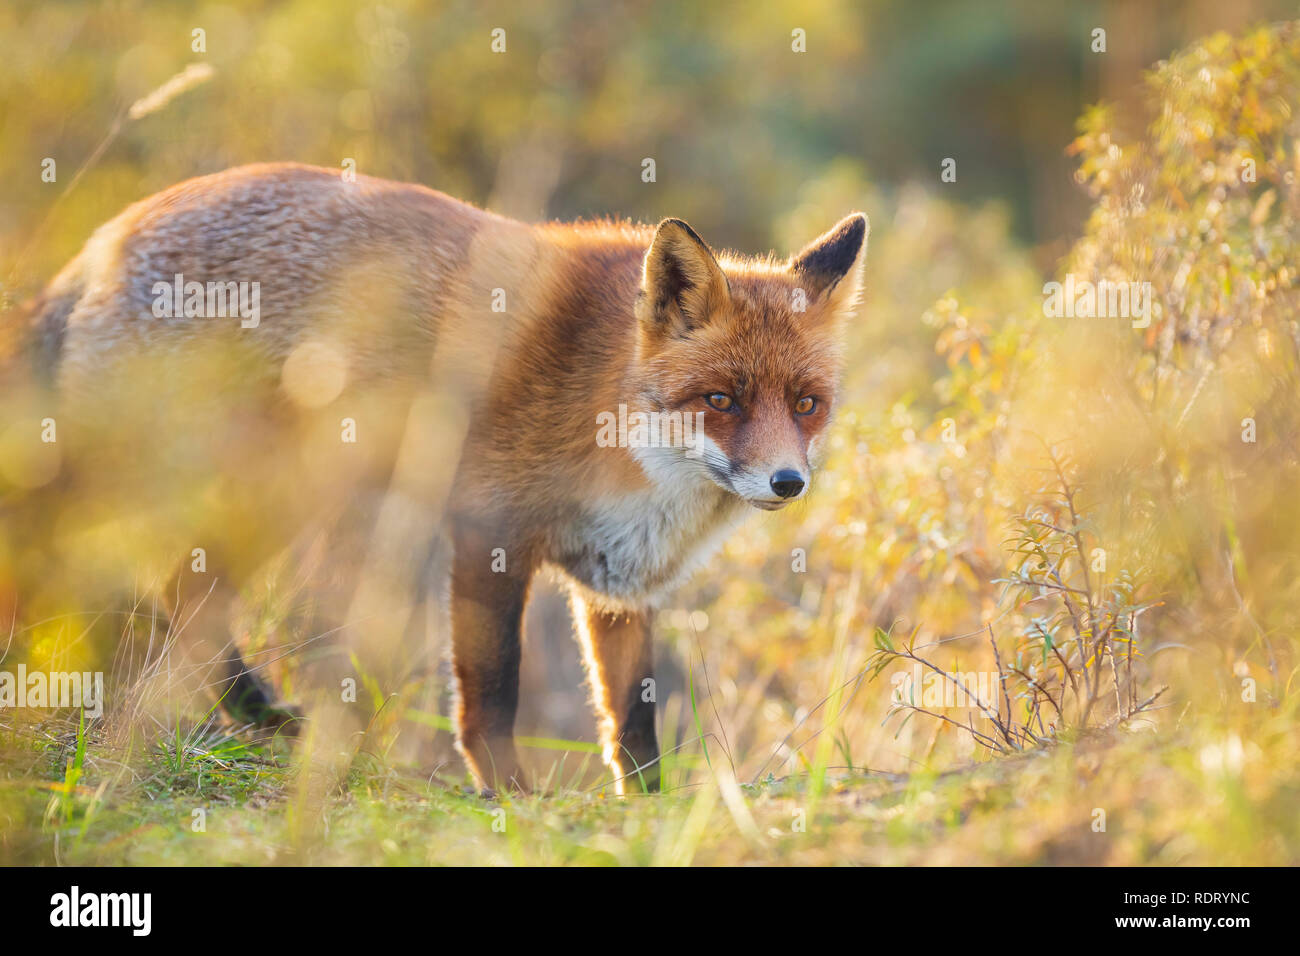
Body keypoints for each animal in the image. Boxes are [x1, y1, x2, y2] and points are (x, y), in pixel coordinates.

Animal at [4, 162, 867, 794]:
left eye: (807, 404)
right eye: (721, 400)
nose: (787, 482)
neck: (616, 425)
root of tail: (103, 241)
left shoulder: (621, 580)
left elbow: (631, 718)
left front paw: (647, 807)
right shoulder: (489, 530)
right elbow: (492, 689)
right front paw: (510, 794)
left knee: (177, 600)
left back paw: (256, 713)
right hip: (266, 490)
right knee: (165, 594)